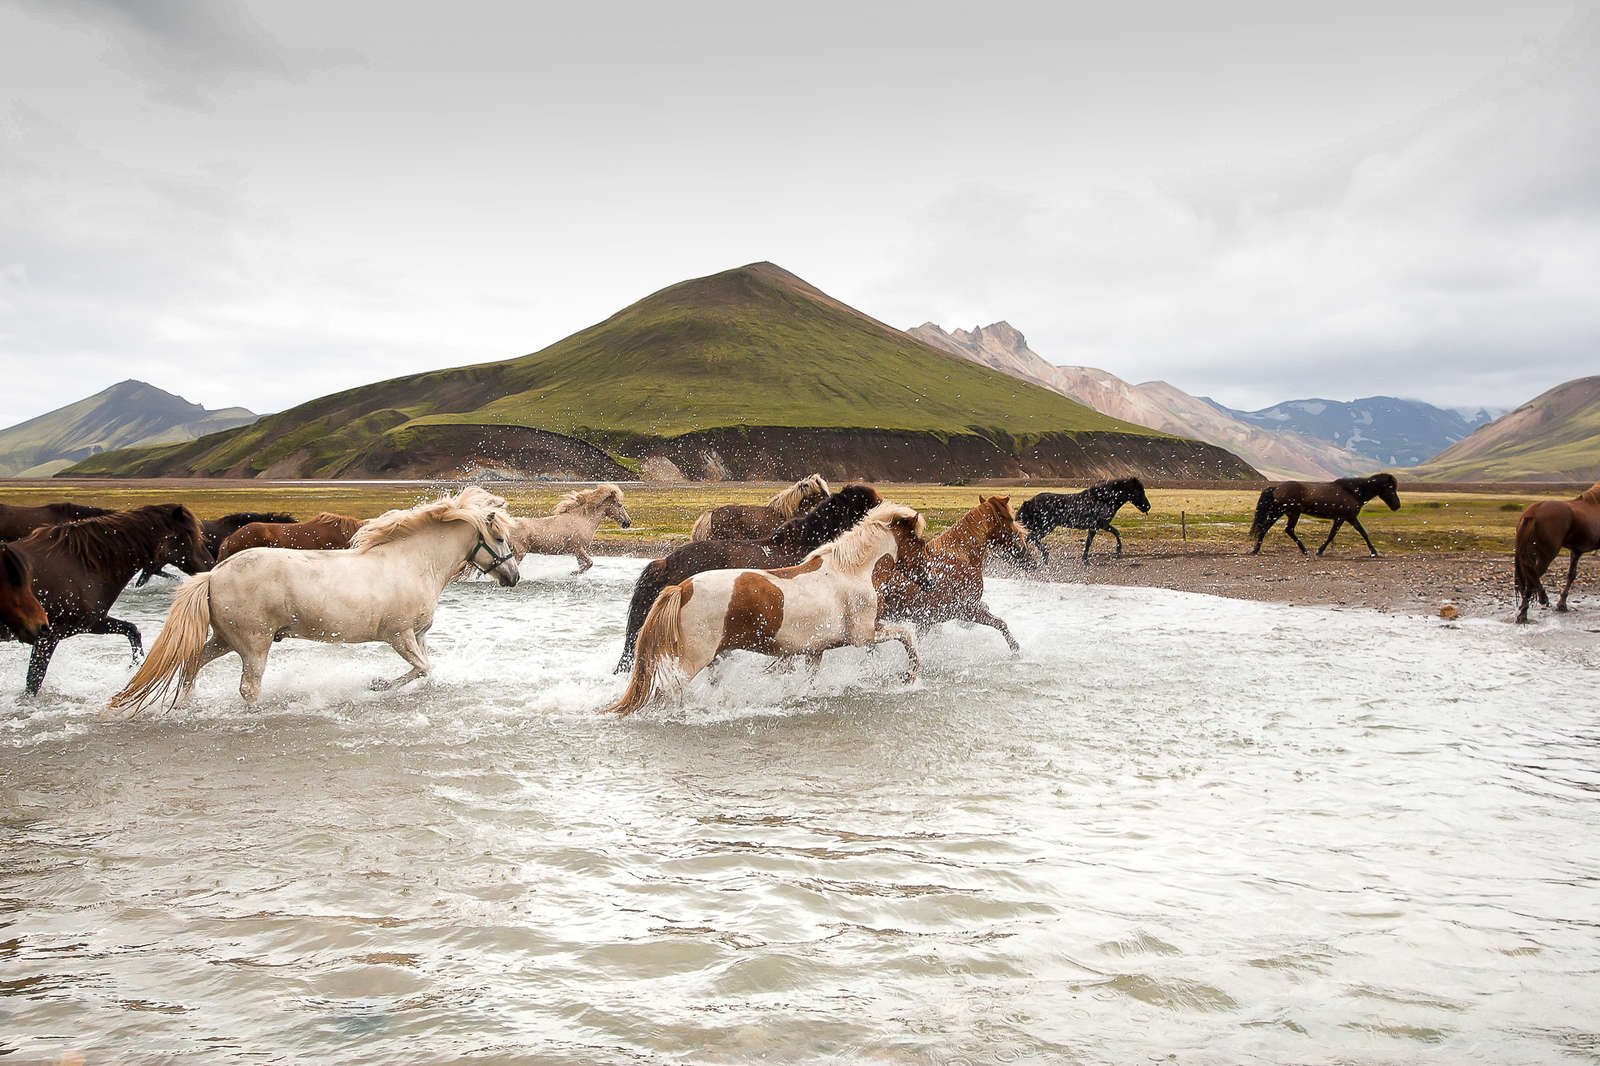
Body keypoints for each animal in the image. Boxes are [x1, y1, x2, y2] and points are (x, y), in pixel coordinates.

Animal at [6, 505, 214, 696]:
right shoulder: (48, 637)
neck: (81, 564)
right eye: (189, 534)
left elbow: (132, 630)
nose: (210, 563)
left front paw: (134, 667)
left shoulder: (91, 623)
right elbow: (33, 683)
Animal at [881, 496, 1030, 652]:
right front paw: (1015, 648)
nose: (1023, 548)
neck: (962, 557)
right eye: (1011, 519)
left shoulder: (927, 620)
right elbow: (1000, 623)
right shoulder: (967, 610)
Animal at [1016, 478, 1151, 563]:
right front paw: (1086, 560)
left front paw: (1118, 550)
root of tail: (1030, 502)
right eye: (1139, 491)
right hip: (1045, 527)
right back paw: (1041, 556)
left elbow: (1115, 533)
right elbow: (1089, 542)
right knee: (1032, 538)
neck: (1104, 499)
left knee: (1029, 538)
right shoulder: (1096, 525)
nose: (1148, 506)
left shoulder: (1102, 525)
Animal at [1250, 473, 1401, 556]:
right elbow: (1361, 533)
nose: (1397, 506)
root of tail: (1276, 488)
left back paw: (1256, 550)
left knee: (1266, 528)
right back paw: (1304, 551)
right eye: (1391, 488)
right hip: (1290, 513)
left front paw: (1320, 551)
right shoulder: (1347, 517)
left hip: (1279, 513)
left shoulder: (1343, 518)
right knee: (1287, 529)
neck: (1353, 492)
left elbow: (1334, 534)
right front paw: (1374, 552)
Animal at [1513, 479, 1600, 623]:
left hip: (1529, 552)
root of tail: (1533, 512)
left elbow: (1571, 575)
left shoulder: (1576, 551)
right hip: (1547, 553)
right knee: (1533, 575)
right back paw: (1531, 607)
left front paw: (1562, 604)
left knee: (1529, 573)